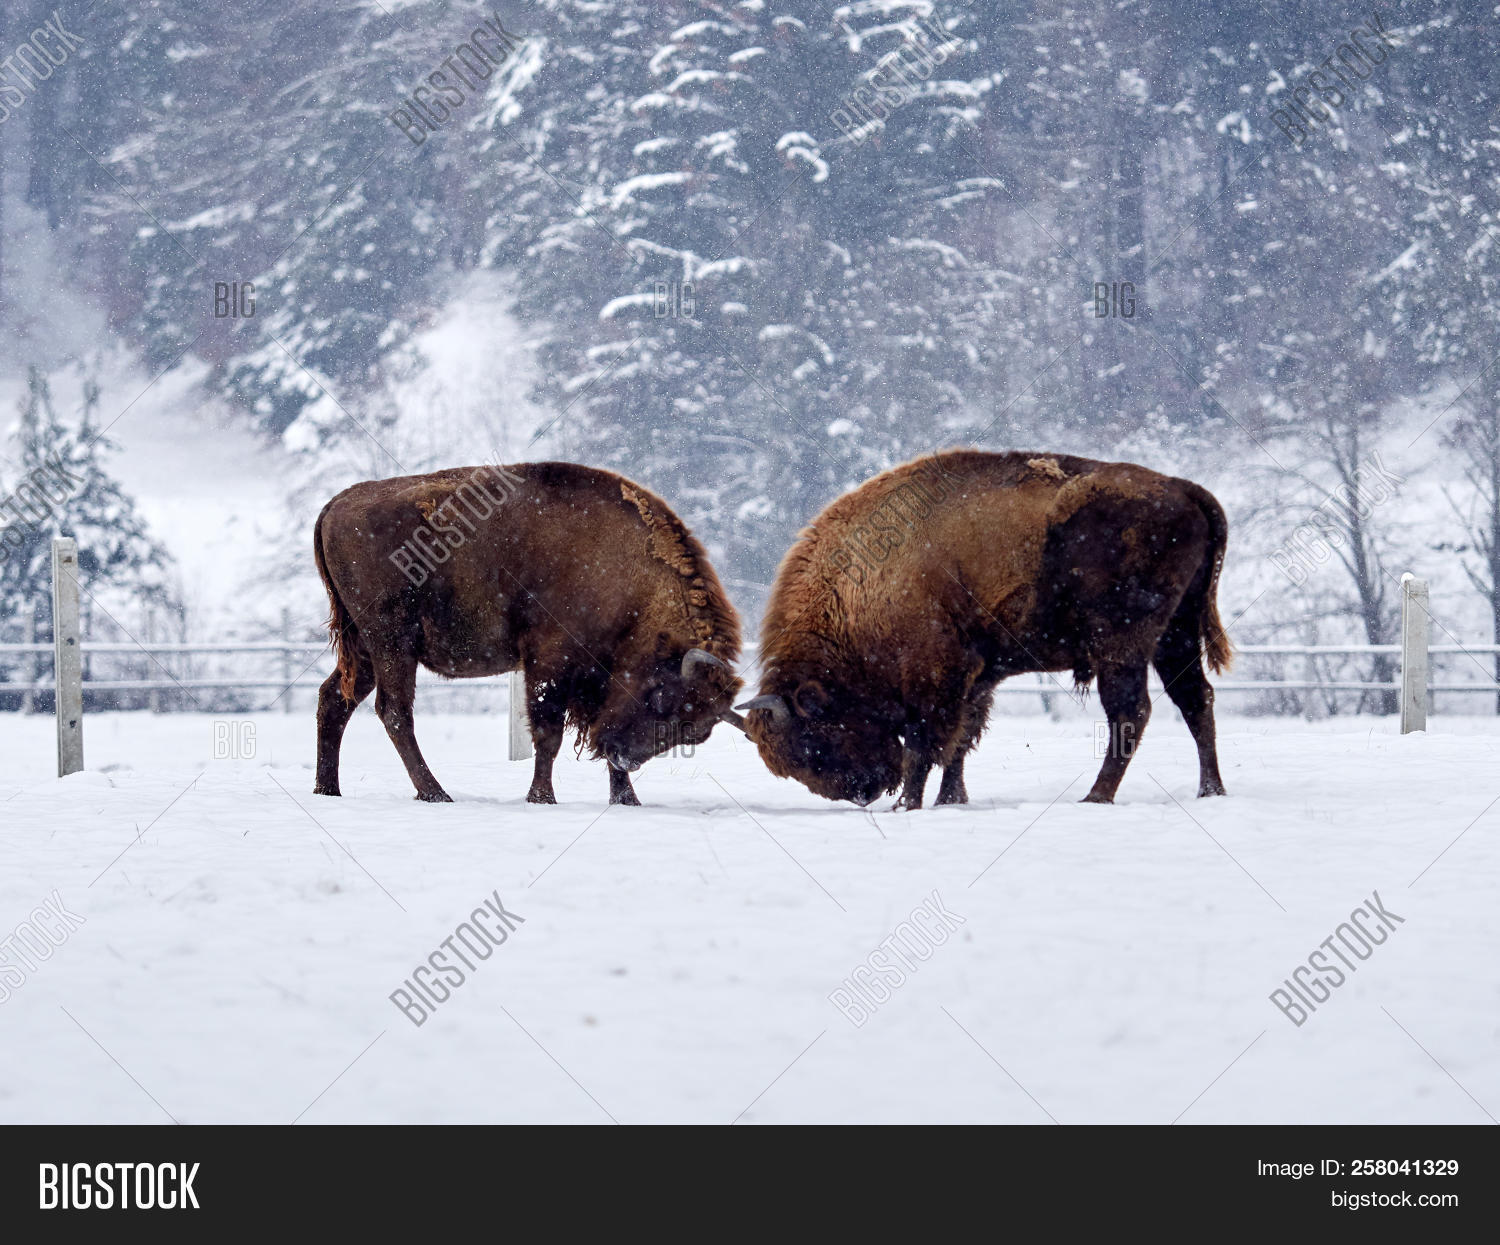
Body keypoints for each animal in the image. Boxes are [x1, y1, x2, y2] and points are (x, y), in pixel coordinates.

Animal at [313, 462, 744, 805]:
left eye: (693, 732)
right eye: (660, 697)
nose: (624, 754)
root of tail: (337, 503)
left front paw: (626, 800)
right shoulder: (549, 661)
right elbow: (547, 733)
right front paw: (542, 798)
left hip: (366, 649)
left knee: (334, 699)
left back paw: (328, 789)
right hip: (392, 643)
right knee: (395, 712)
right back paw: (435, 793)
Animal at [740, 450, 1231, 808]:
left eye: (813, 744)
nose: (864, 792)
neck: (859, 587)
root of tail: (1185, 489)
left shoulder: (934, 676)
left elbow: (926, 744)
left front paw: (908, 805)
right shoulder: (976, 677)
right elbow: (960, 741)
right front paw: (950, 801)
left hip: (1122, 643)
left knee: (1130, 712)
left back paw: (1095, 797)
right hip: (1175, 636)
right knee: (1196, 700)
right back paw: (1210, 791)